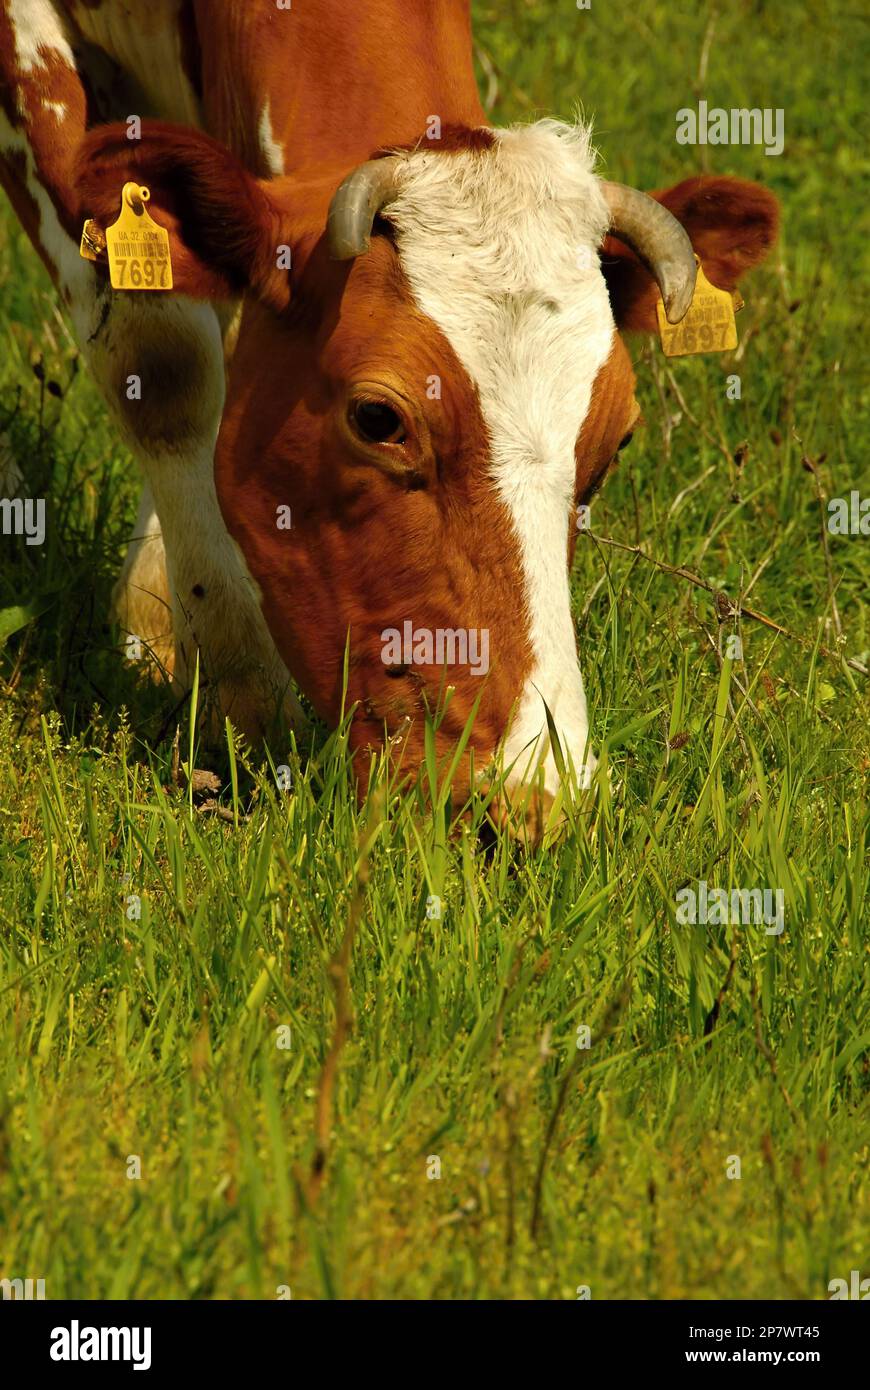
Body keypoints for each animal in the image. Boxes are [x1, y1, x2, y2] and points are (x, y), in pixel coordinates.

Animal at [0, 0, 778, 835]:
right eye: (377, 418)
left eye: (618, 439)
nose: (531, 794)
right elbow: (163, 361)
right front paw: (239, 690)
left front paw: (160, 627)